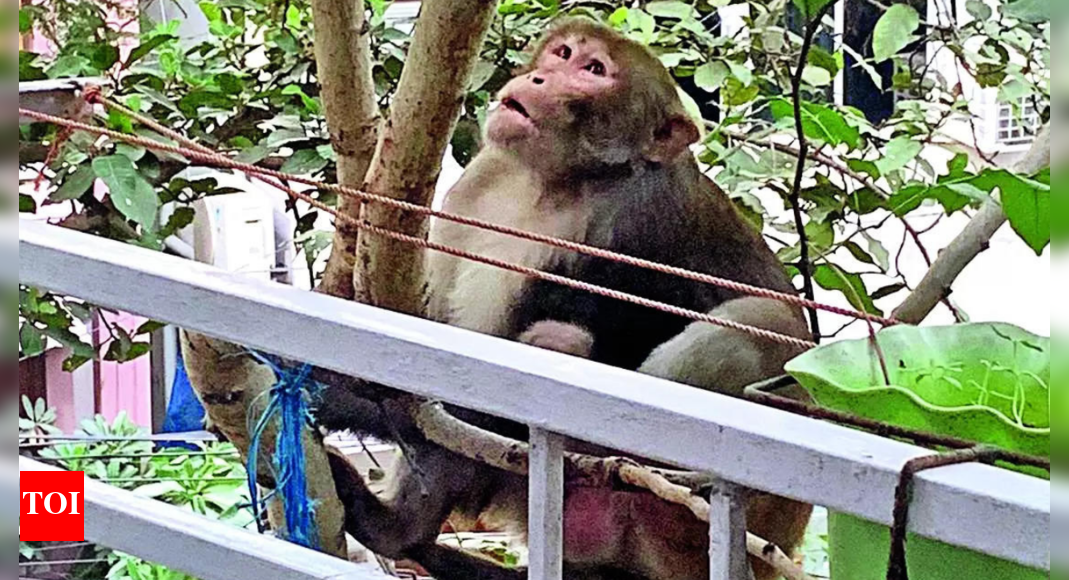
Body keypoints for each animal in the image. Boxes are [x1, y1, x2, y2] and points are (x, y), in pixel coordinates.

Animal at [319, 17, 813, 580]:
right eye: (562, 54)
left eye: (593, 70)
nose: (539, 79)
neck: (550, 182)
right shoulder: (480, 180)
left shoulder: (622, 224)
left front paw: (340, 393)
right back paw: (399, 529)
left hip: (703, 533)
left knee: (755, 322)